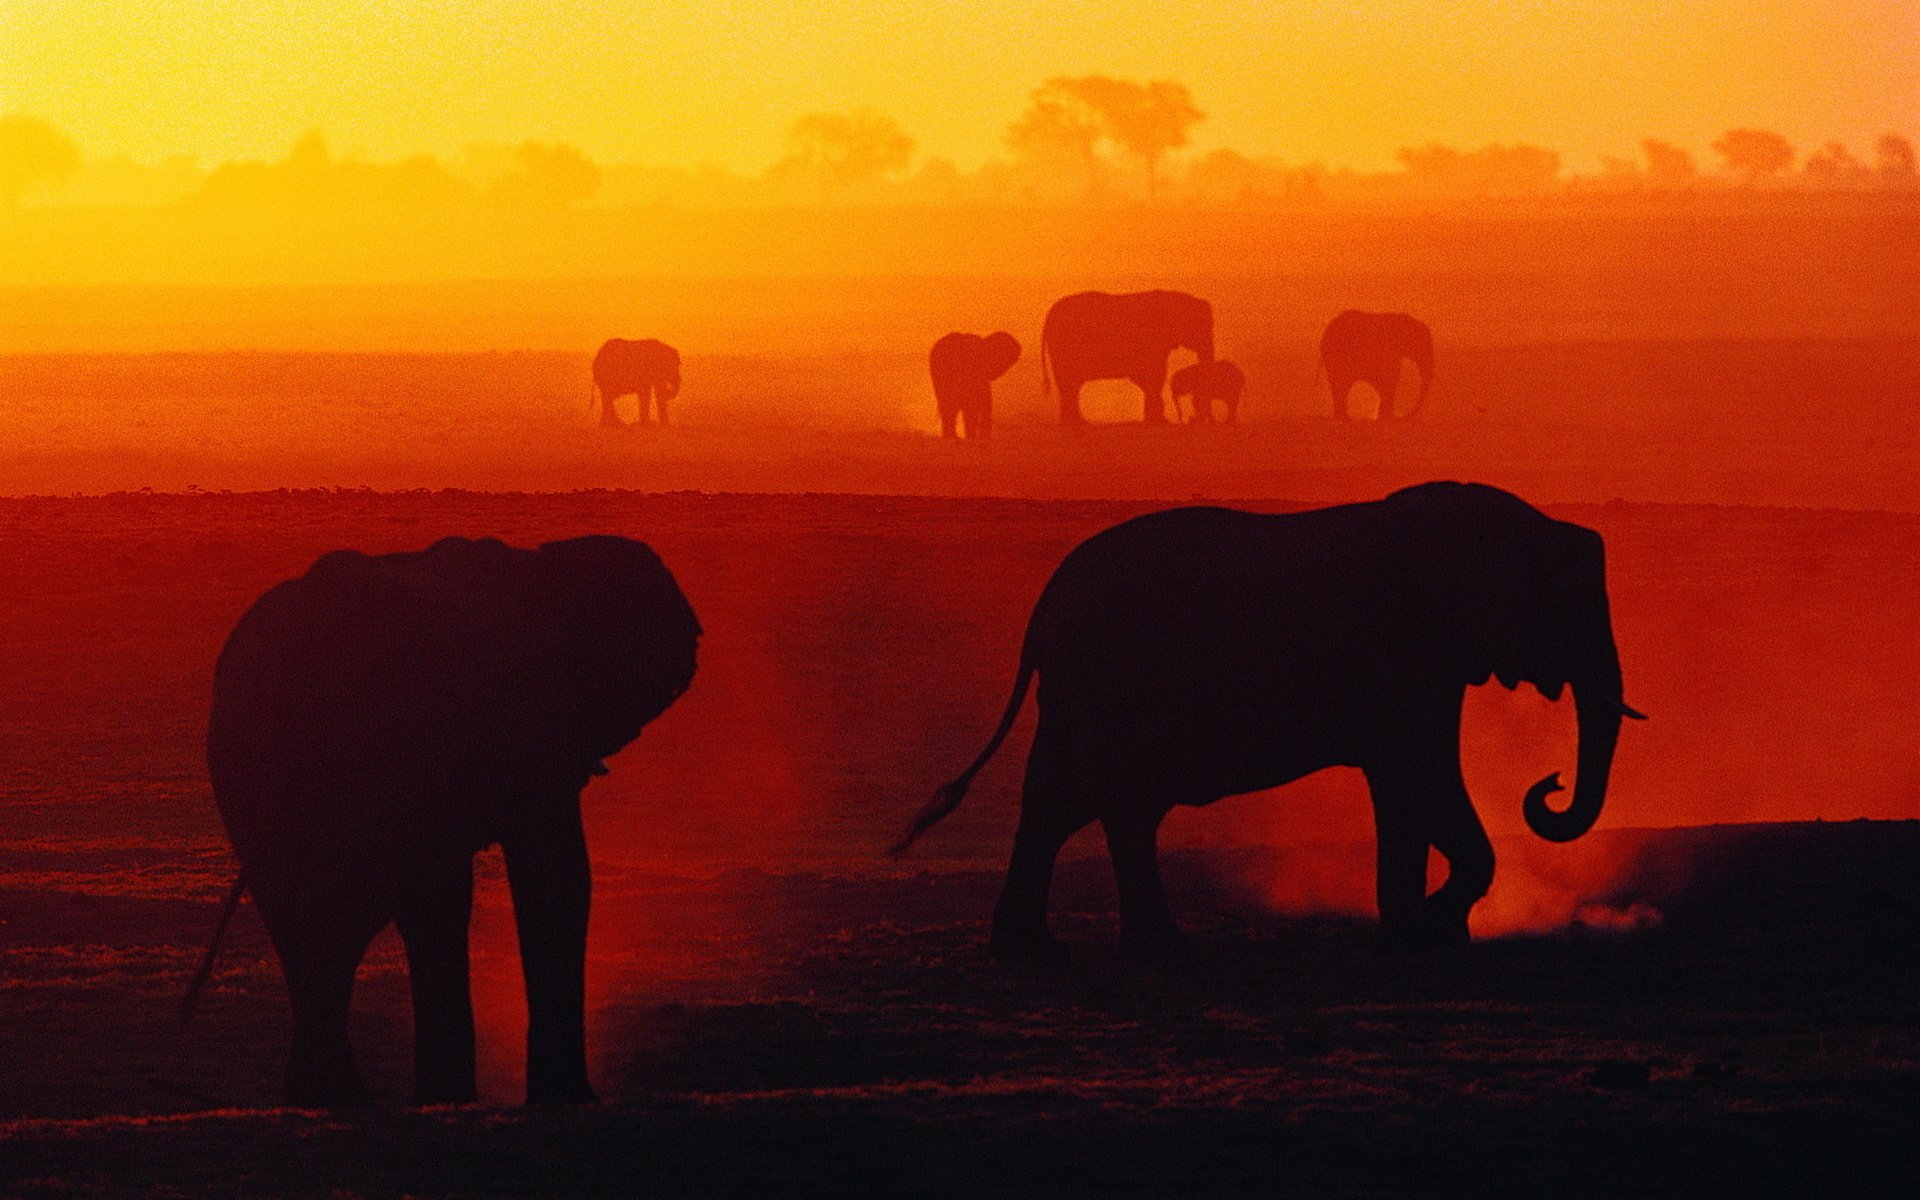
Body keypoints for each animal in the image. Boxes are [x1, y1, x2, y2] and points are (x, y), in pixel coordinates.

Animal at [201, 535, 700, 1106]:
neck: (546, 560)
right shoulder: (536, 725)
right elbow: (555, 876)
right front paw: (568, 1102)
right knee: (354, 915)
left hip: (249, 767)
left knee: (314, 919)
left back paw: (331, 1101)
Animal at [894, 482, 1642, 961]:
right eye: (1573, 609)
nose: (1548, 785)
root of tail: (1042, 609)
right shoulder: (1405, 655)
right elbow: (1419, 772)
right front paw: (1430, 928)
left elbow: (1403, 787)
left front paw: (1414, 937)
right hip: (1111, 686)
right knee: (1121, 806)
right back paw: (1162, 953)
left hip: (1079, 694)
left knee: (1057, 805)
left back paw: (1036, 951)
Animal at [1041, 290, 1214, 425]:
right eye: (1202, 327)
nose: (1193, 419)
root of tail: (1048, 316)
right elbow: (1156, 376)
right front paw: (1160, 421)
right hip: (1062, 348)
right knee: (1069, 383)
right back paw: (1076, 423)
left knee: (1070, 385)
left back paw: (1076, 422)